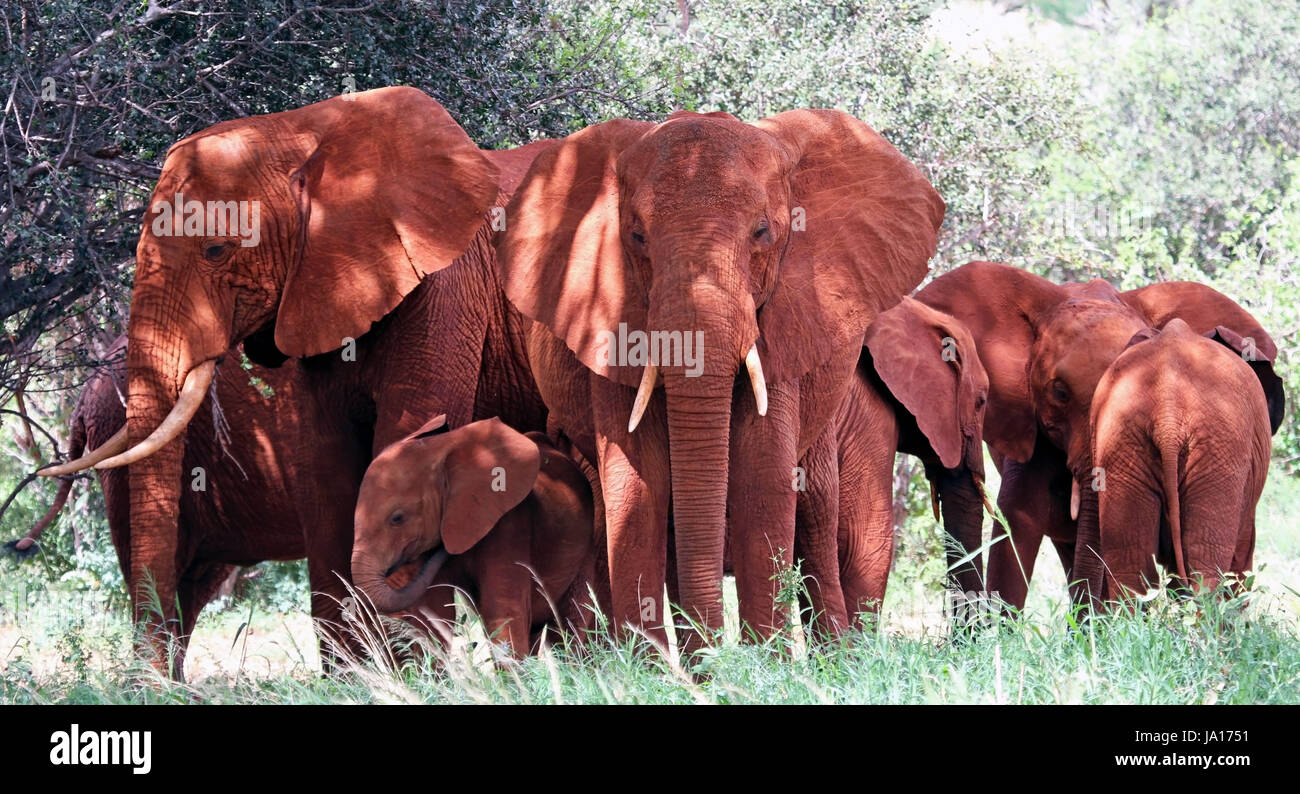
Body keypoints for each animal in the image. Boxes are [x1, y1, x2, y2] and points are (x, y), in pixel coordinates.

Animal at [495, 108, 944, 647]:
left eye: (763, 233)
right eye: (637, 237)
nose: (715, 656)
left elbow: (762, 473)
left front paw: (764, 662)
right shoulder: (609, 318)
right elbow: (638, 484)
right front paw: (656, 667)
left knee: (819, 515)